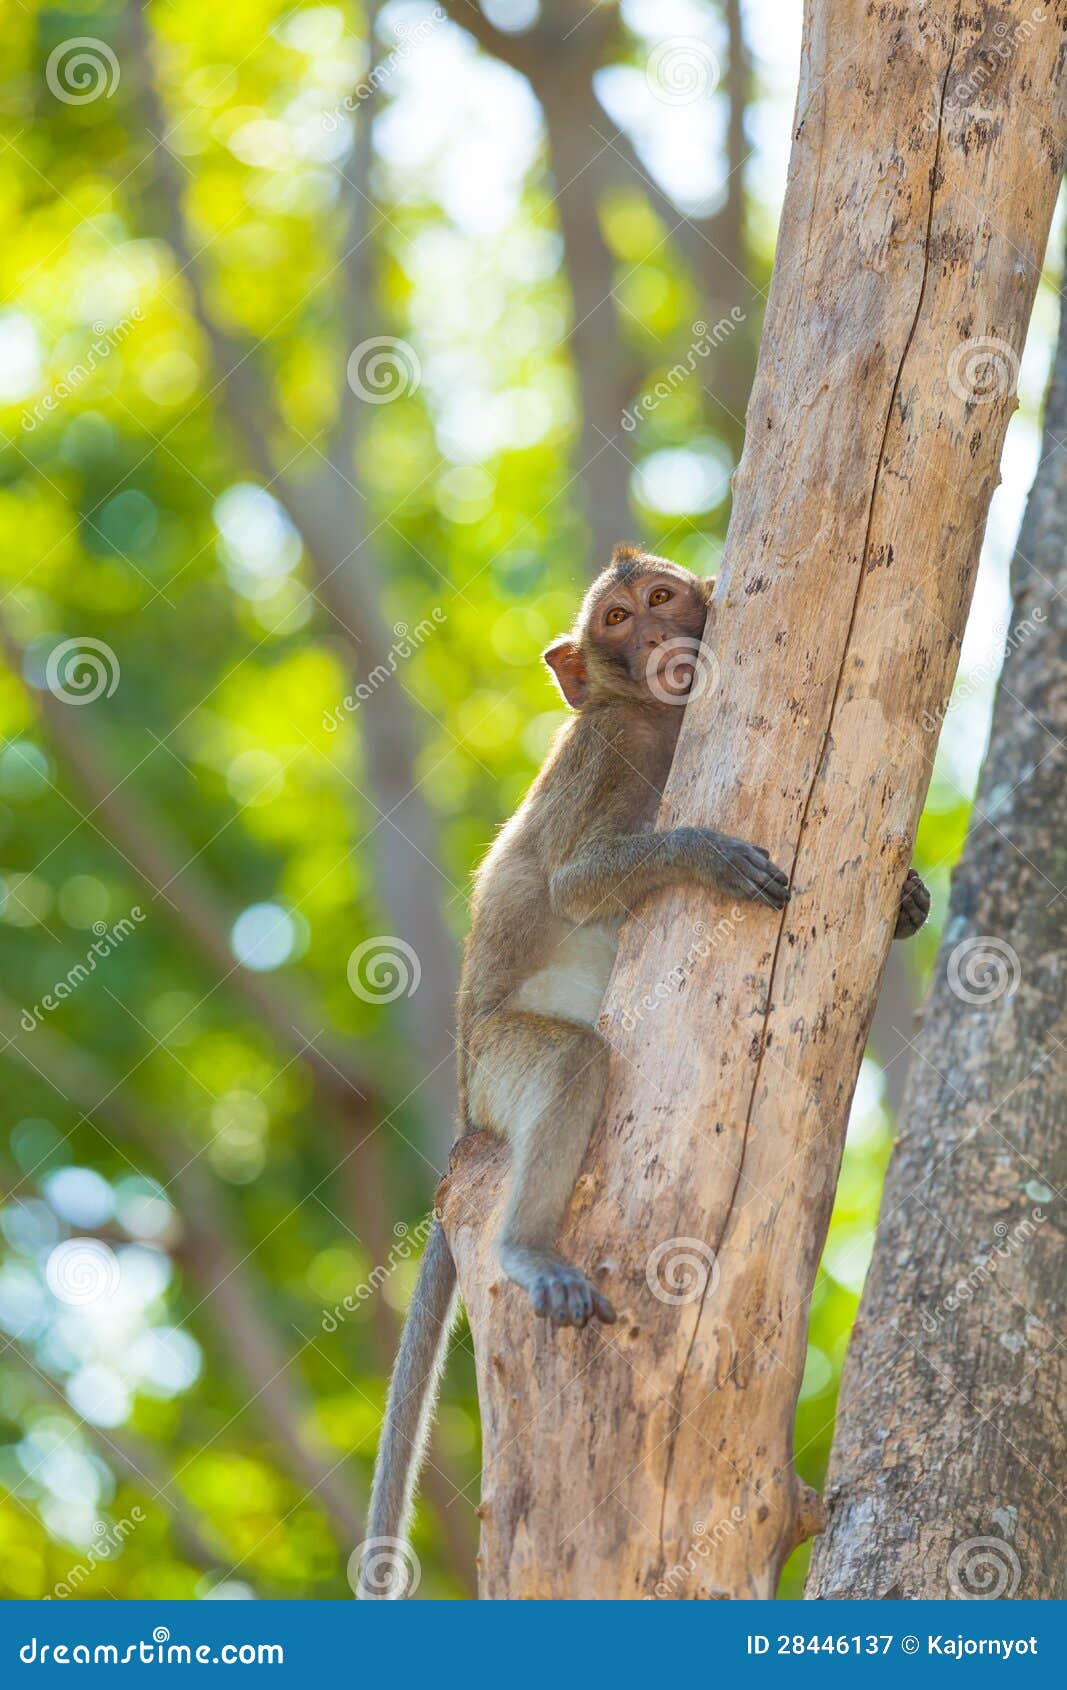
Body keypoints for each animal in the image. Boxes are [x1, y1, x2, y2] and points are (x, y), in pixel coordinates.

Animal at [357, 545, 930, 1596]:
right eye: (617, 619)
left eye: (662, 597)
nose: (659, 633)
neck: (661, 721)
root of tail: (465, 1118)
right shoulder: (603, 750)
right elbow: (576, 882)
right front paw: (701, 854)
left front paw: (907, 898)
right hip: (496, 1065)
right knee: (572, 1059)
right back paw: (529, 1247)